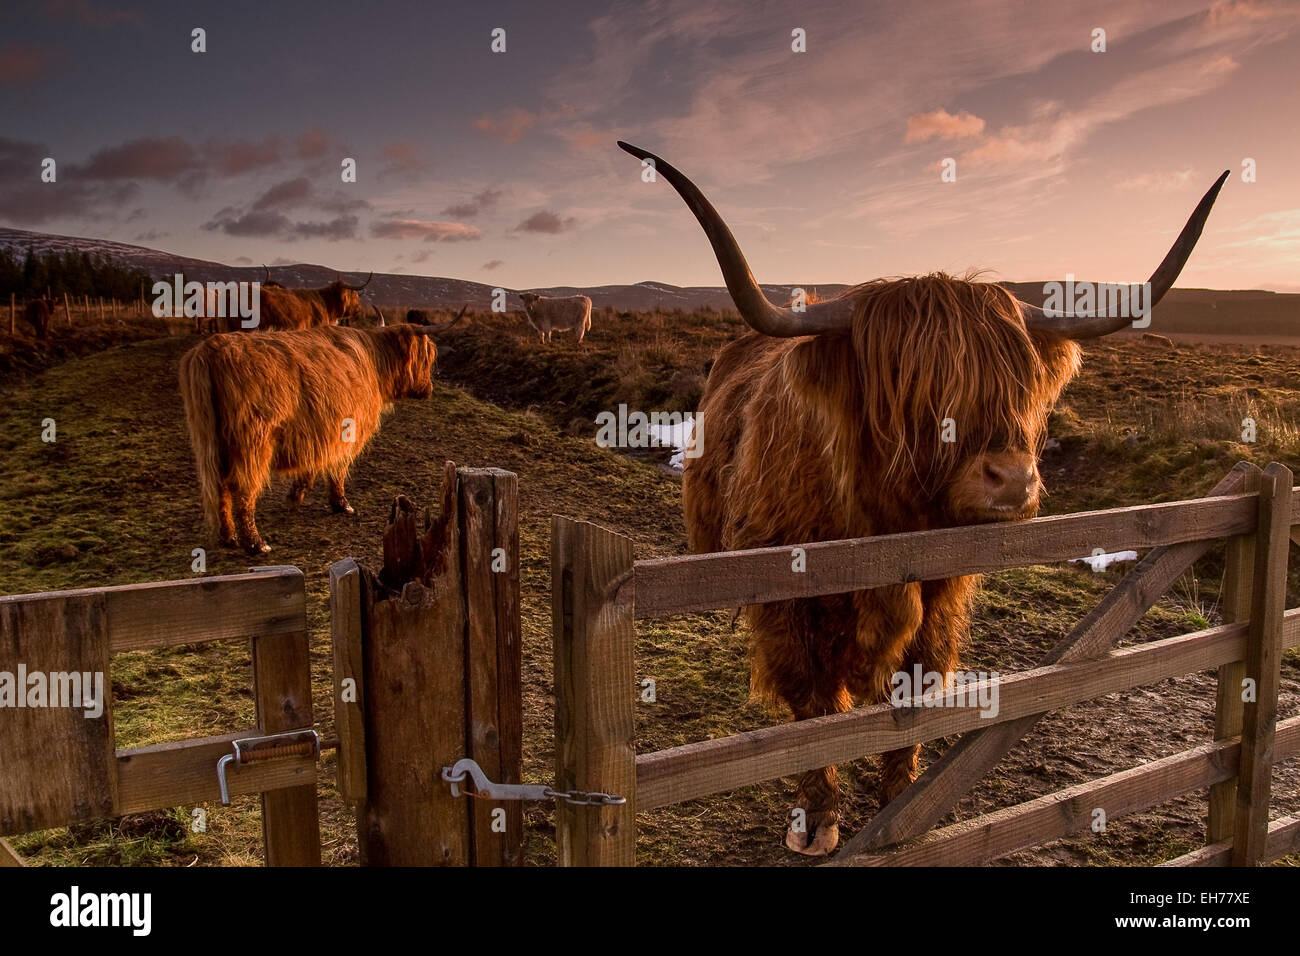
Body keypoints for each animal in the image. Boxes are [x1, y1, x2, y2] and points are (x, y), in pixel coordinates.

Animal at [178, 323, 441, 554]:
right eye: (428, 357)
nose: (429, 388)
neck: (375, 362)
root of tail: (211, 348)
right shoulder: (346, 431)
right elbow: (337, 469)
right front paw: (341, 504)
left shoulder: (321, 434)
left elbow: (315, 464)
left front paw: (296, 496)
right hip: (253, 443)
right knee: (243, 489)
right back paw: (255, 544)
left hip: (210, 444)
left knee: (219, 488)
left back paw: (228, 537)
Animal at [619, 141, 1227, 856]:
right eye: (915, 387)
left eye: (1021, 383)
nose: (1012, 478)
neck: (881, 530)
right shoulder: (783, 601)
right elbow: (810, 707)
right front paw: (820, 818)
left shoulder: (941, 595)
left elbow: (918, 691)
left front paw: (898, 806)